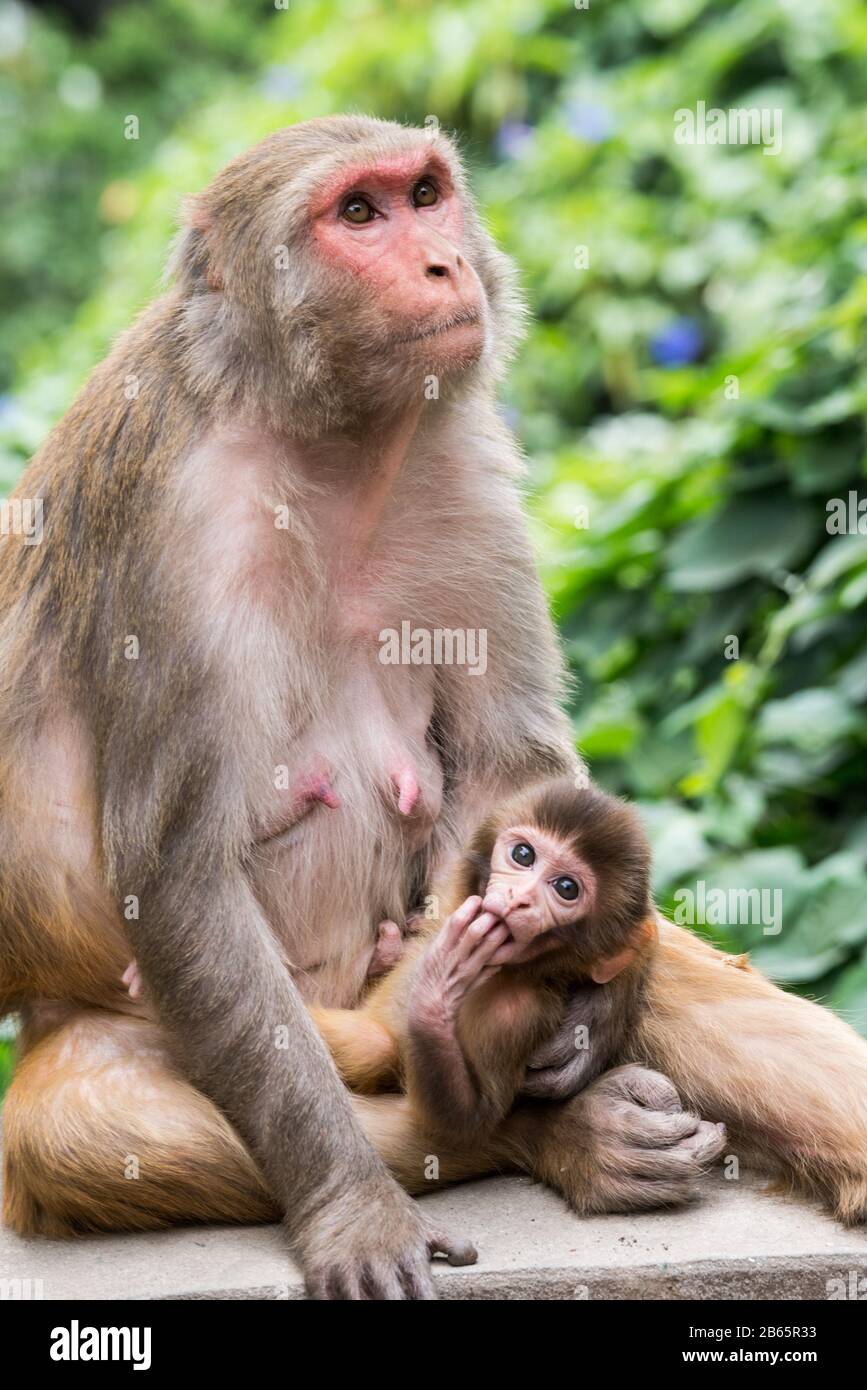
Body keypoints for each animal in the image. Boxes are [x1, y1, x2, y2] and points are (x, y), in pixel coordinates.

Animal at [0, 118, 864, 1303]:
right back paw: (544, 1137)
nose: (444, 264)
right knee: (83, 1127)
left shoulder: (463, 467)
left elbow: (513, 776)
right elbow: (175, 872)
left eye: (423, 195)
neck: (321, 434)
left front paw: (594, 1006)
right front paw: (355, 1209)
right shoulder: (169, 527)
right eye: (358, 216)